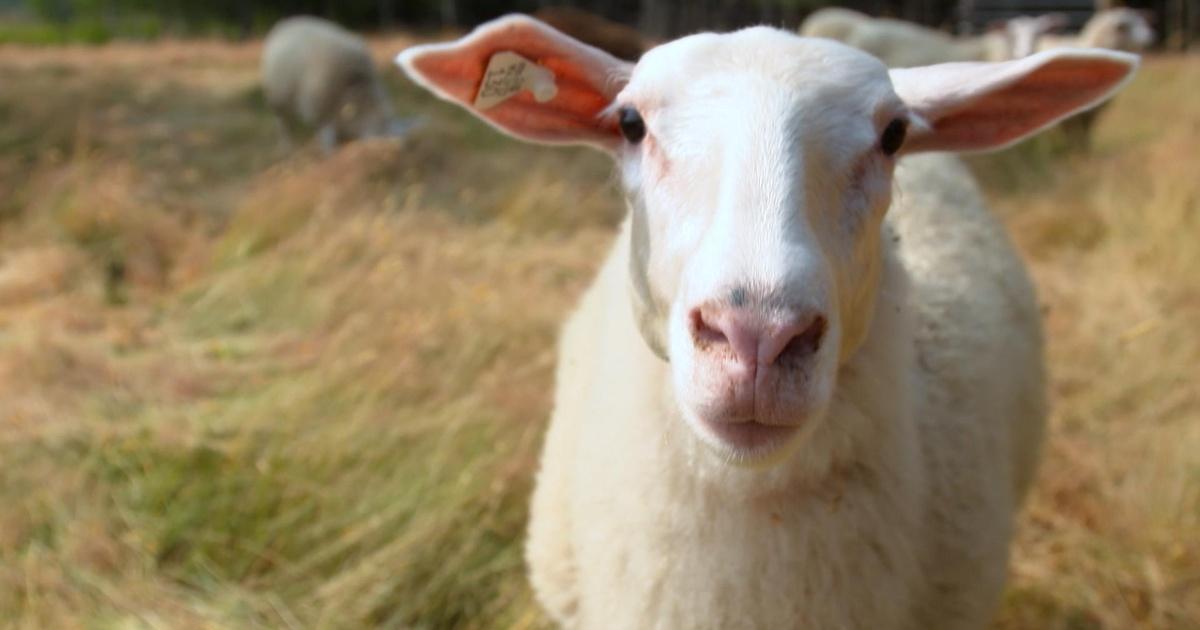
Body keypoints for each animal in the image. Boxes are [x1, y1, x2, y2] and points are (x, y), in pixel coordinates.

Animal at [262, 16, 395, 152]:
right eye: (369, 114)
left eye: (387, 118)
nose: (387, 141)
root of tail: (286, 22)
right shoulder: (320, 109)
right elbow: (327, 135)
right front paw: (330, 151)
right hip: (276, 100)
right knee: (283, 123)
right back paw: (286, 145)